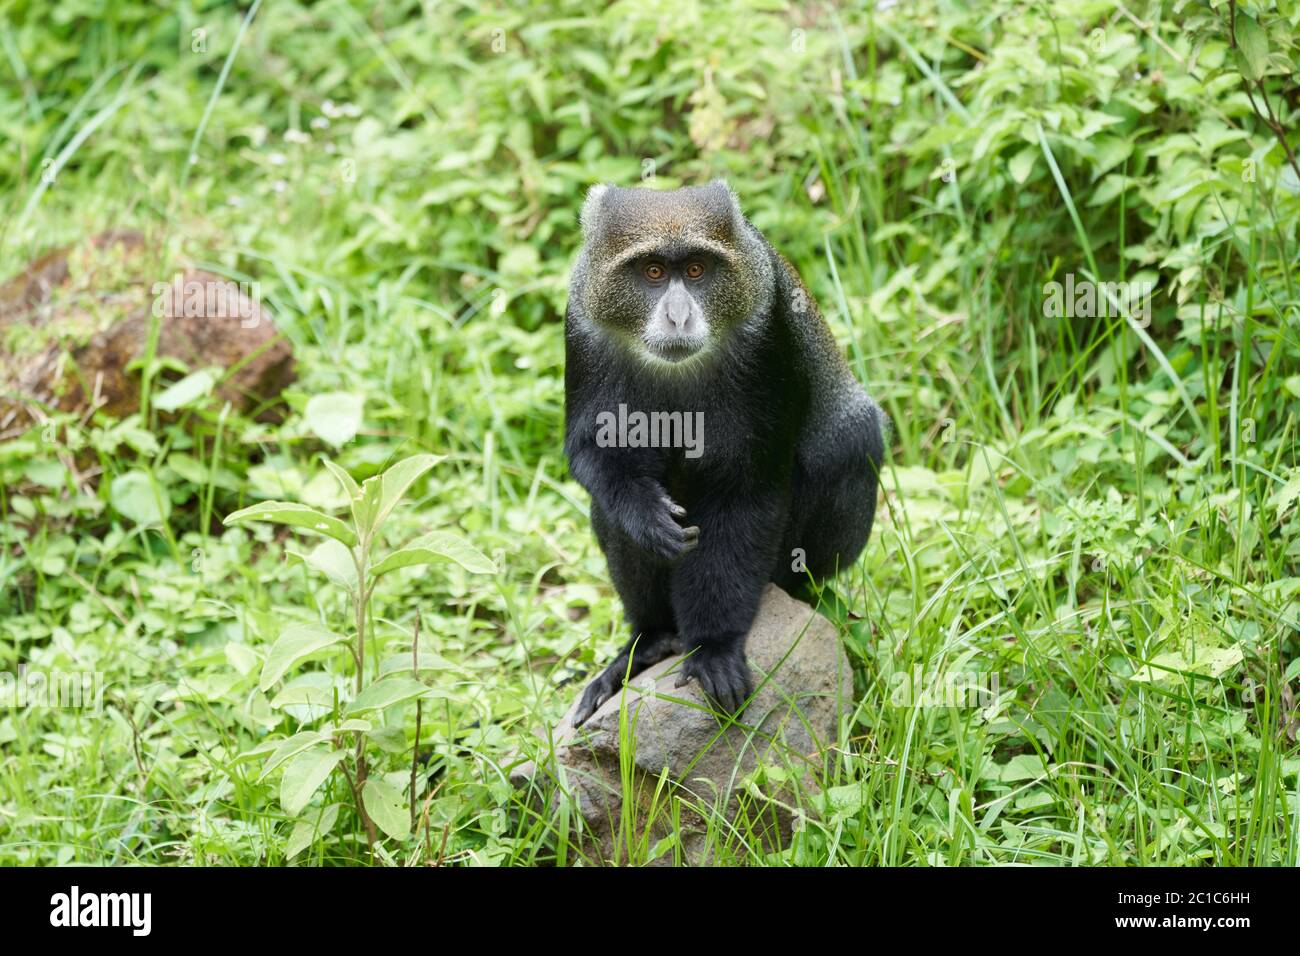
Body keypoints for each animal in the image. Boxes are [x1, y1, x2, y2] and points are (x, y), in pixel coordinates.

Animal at [564, 180, 887, 727]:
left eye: (696, 270)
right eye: (653, 272)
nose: (678, 315)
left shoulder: (768, 330)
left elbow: (745, 494)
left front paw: (714, 648)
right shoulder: (581, 323)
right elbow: (594, 451)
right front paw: (644, 514)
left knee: (851, 442)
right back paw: (649, 641)